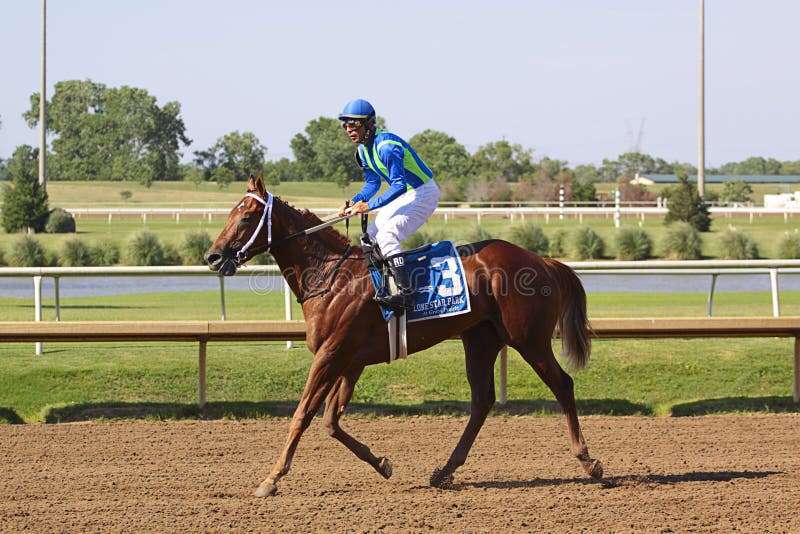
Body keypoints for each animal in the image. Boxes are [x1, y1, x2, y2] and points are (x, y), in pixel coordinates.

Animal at [205, 174, 603, 497]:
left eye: (245, 217)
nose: (212, 256)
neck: (332, 276)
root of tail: (542, 261)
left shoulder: (331, 354)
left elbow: (303, 413)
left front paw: (271, 479)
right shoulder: (349, 360)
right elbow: (331, 421)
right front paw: (382, 463)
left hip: (528, 339)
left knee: (562, 385)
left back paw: (588, 461)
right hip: (480, 339)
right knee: (482, 401)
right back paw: (444, 471)